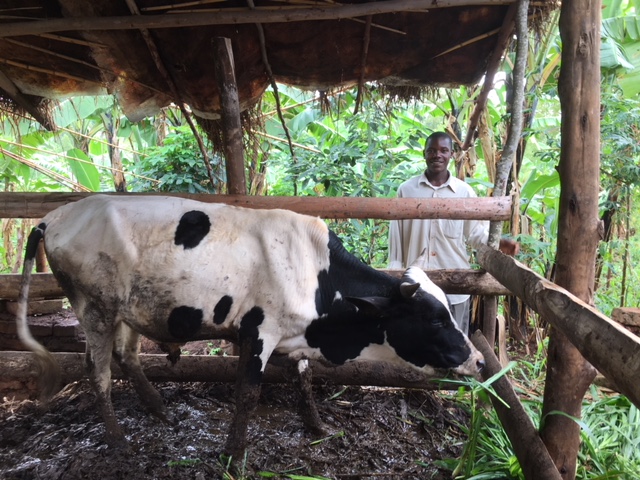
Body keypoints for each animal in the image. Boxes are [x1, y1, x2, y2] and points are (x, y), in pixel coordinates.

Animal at [16, 194, 484, 459]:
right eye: (435, 317)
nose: (479, 360)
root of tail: (54, 216)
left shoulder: (294, 333)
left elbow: (303, 380)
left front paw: (318, 428)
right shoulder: (258, 332)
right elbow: (247, 395)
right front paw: (233, 456)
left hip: (129, 309)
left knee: (126, 356)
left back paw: (160, 410)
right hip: (95, 307)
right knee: (98, 371)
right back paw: (118, 442)